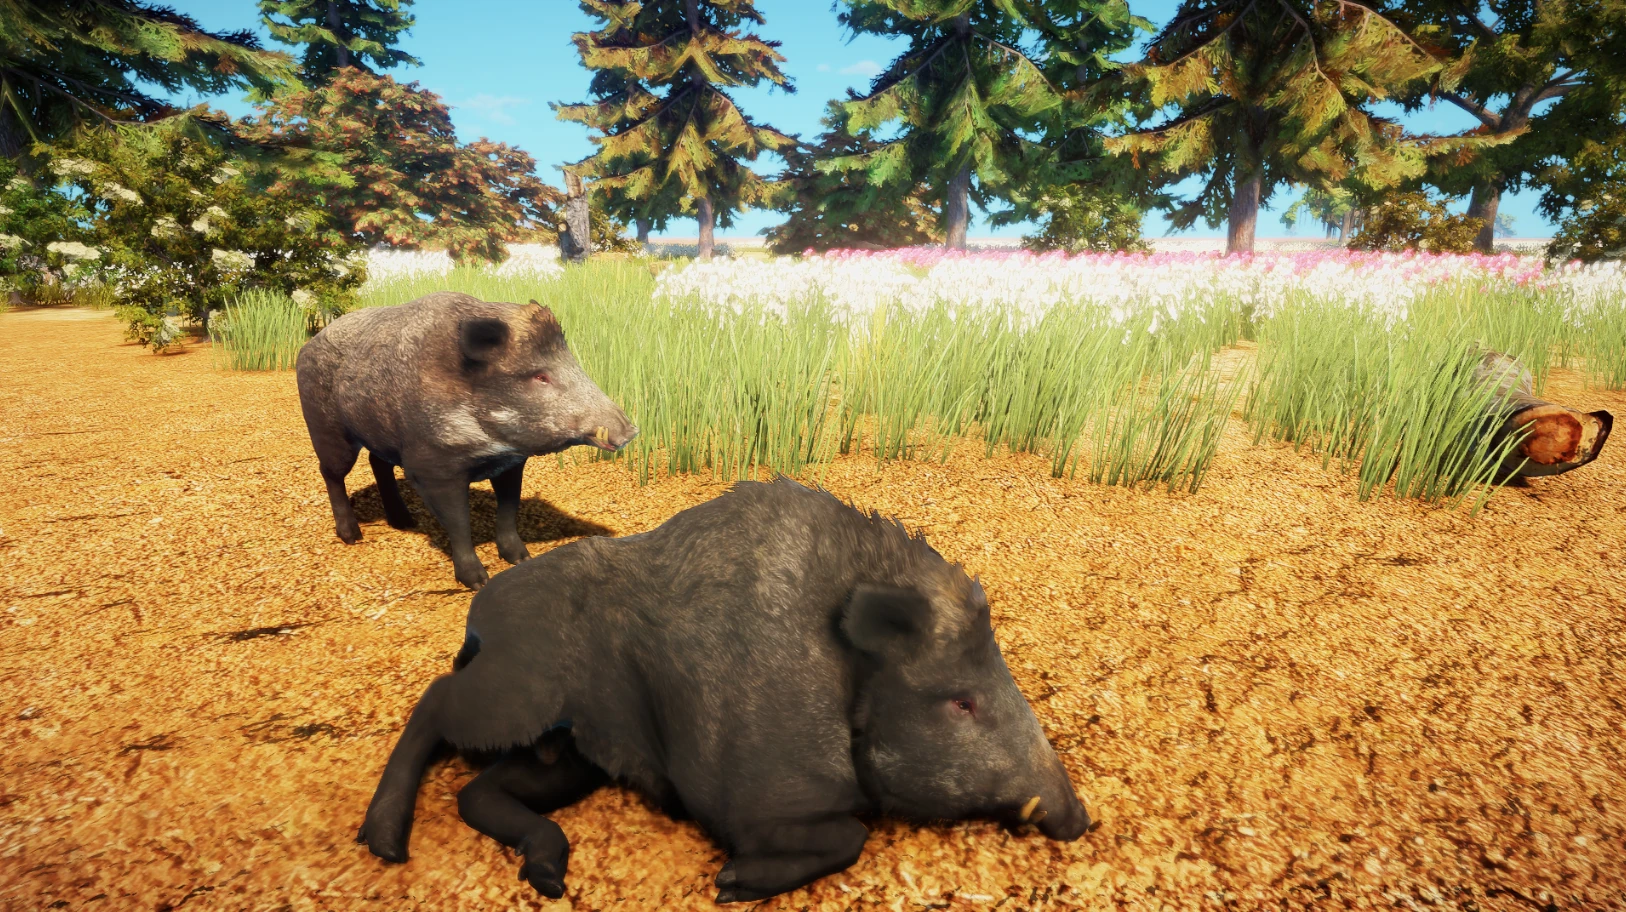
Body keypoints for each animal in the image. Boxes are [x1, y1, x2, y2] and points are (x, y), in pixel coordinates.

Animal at [295, 292, 637, 589]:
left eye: (574, 364)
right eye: (540, 376)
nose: (631, 431)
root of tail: (308, 345)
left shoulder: (510, 464)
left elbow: (509, 509)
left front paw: (521, 558)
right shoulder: (432, 469)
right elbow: (458, 523)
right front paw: (477, 582)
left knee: (377, 462)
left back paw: (405, 522)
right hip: (327, 429)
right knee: (331, 472)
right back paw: (352, 536)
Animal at [356, 477, 1092, 904]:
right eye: (962, 701)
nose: (1080, 818)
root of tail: (480, 611)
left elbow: (850, 835)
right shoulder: (747, 802)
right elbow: (851, 835)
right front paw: (729, 885)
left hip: (566, 757)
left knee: (478, 791)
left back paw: (550, 877)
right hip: (515, 694)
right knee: (434, 702)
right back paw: (385, 845)